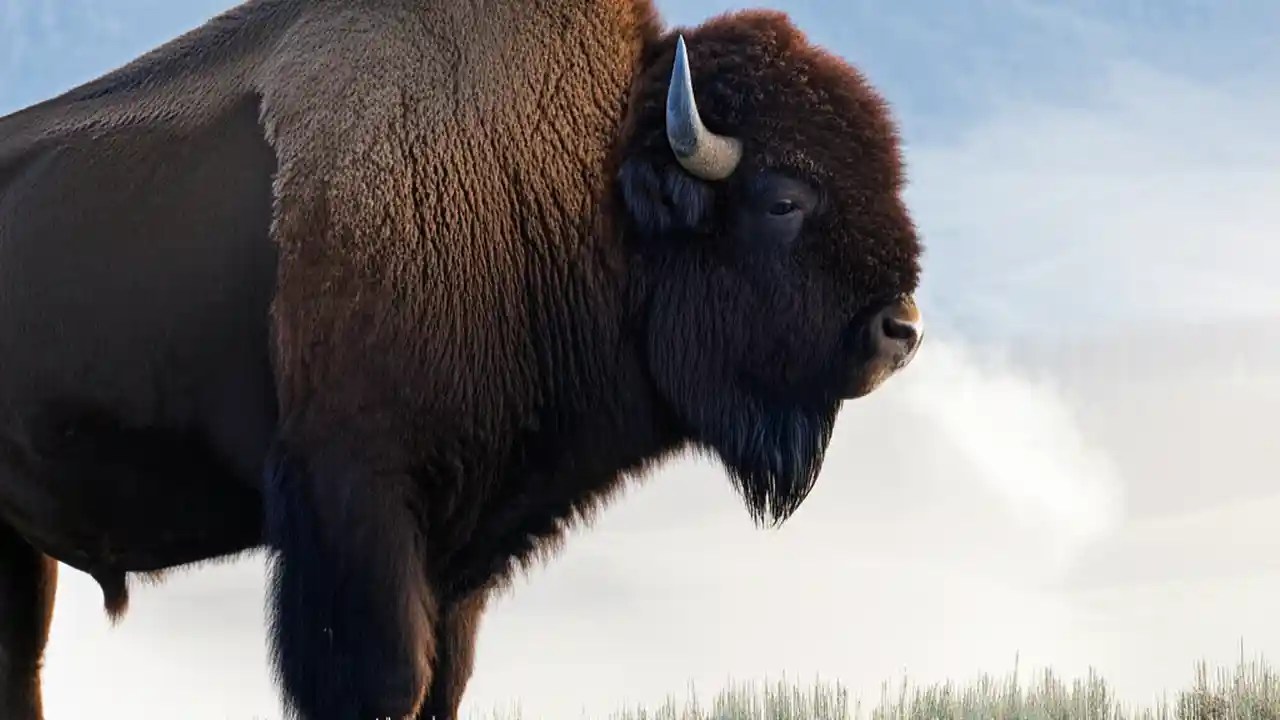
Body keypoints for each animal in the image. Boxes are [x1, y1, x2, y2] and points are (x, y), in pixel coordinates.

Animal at [0, 0, 924, 718]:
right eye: (784, 199)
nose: (901, 329)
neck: (575, 187)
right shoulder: (354, 498)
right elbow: (383, 685)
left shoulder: (459, 550)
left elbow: (443, 685)